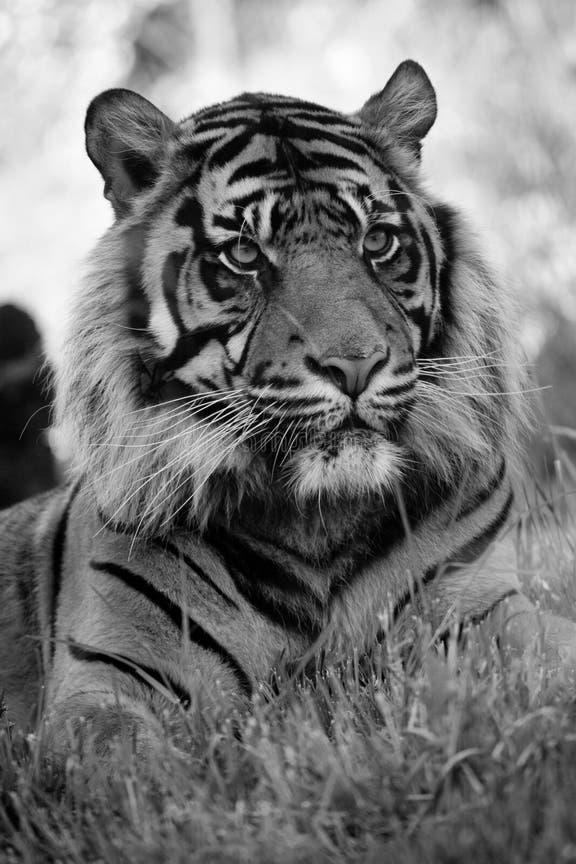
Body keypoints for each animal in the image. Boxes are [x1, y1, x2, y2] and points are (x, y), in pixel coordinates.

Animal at [1, 60, 576, 758]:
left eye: (377, 241)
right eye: (245, 254)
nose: (355, 365)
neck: (317, 522)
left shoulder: (484, 612)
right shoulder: (109, 680)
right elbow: (133, 759)